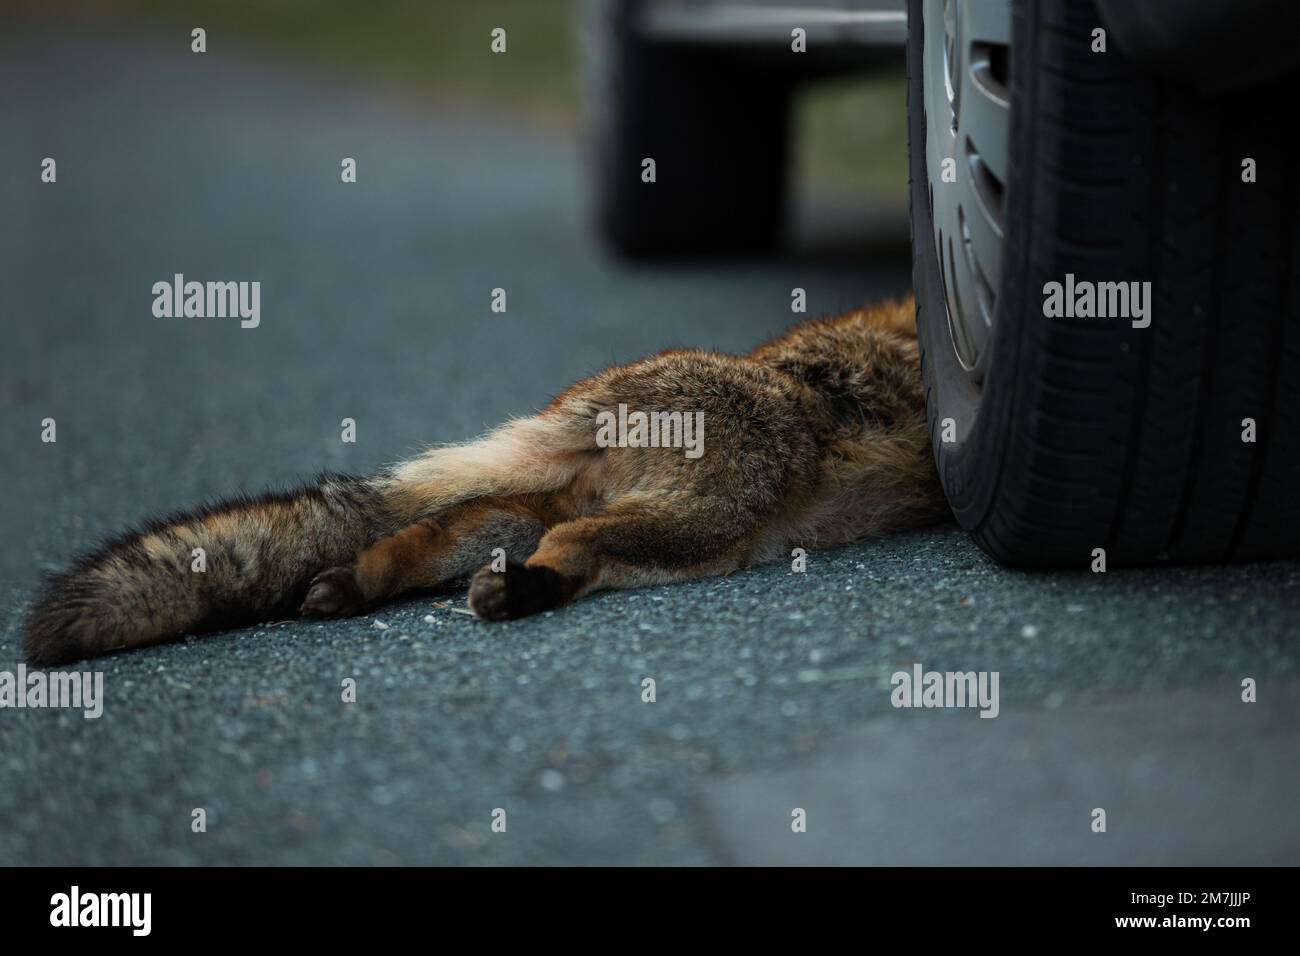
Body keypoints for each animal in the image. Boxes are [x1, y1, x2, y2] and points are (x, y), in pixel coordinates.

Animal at [22, 296, 949, 667]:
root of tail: (592, 398)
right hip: (706, 526)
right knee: (571, 545)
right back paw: (519, 597)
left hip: (569, 524)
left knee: (430, 536)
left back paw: (360, 583)